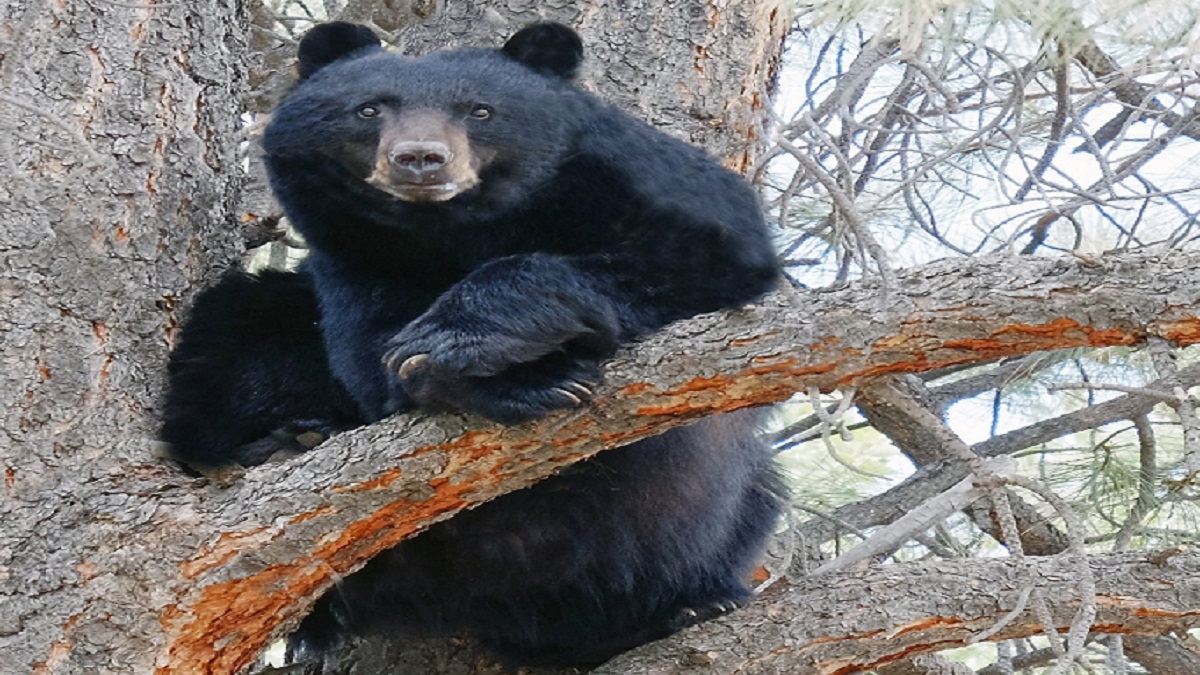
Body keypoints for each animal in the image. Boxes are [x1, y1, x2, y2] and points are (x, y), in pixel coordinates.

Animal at [161, 21, 785, 666]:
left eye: (480, 110)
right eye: (369, 109)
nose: (420, 159)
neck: (454, 228)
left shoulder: (627, 176)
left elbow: (708, 251)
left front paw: (465, 337)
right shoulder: (353, 259)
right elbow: (373, 361)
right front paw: (516, 380)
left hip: (695, 522)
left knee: (740, 510)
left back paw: (683, 608)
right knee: (232, 336)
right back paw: (276, 446)